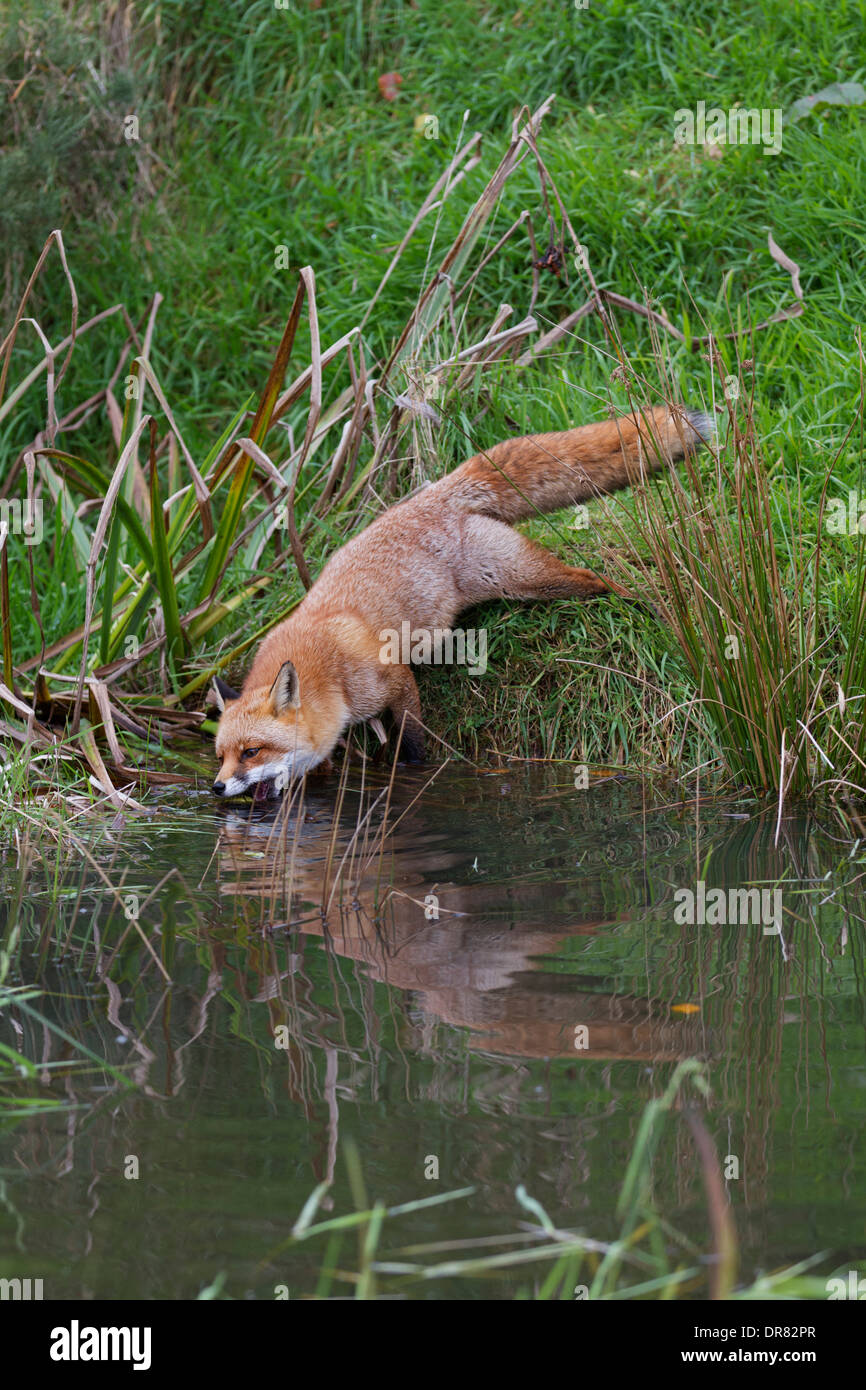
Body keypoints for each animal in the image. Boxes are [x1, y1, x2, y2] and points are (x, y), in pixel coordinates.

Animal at [212, 404, 713, 800]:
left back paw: (641, 606)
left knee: (593, 578)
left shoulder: (395, 680)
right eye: (220, 756)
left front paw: (411, 771)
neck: (328, 671)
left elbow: (412, 741)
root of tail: (439, 490)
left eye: (252, 751)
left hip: (520, 576)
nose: (215, 787)